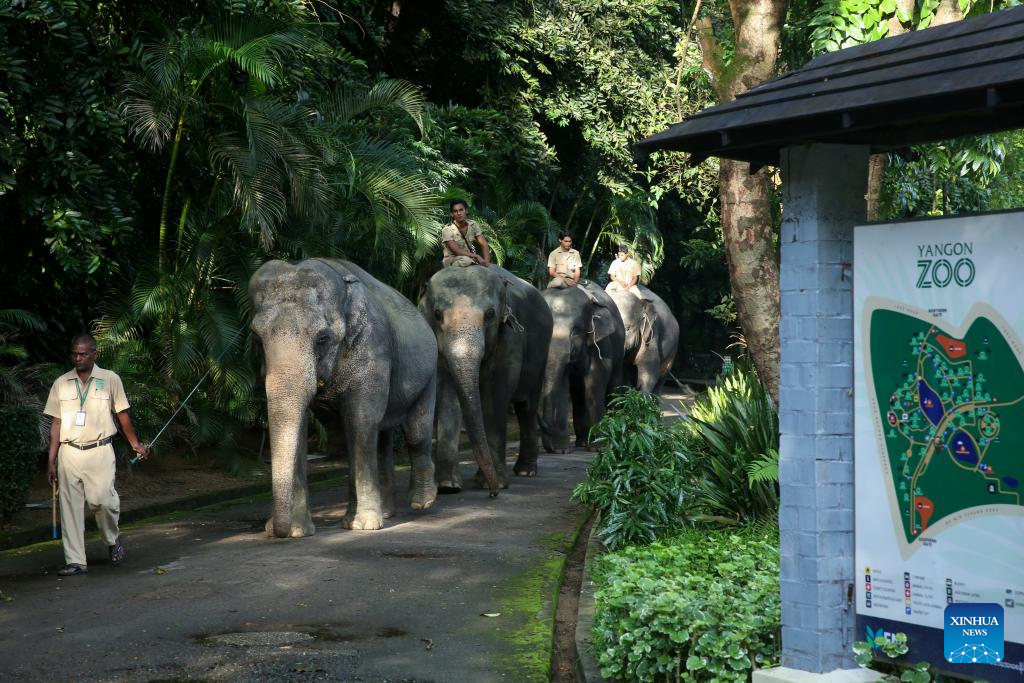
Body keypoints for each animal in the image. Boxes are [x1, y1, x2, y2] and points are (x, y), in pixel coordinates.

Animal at [249, 258, 438, 538]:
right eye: (256, 337)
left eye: (323, 338)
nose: (274, 530)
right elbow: (302, 428)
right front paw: (298, 532)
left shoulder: (373, 353)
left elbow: (360, 422)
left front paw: (365, 525)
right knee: (382, 437)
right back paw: (387, 512)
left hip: (430, 374)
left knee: (416, 433)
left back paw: (421, 502)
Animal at [419, 265, 553, 495]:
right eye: (437, 314)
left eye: (490, 314)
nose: (493, 494)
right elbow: (446, 392)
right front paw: (448, 486)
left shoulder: (509, 338)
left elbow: (495, 394)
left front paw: (494, 483)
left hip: (541, 350)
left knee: (526, 404)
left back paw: (525, 471)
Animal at [540, 281, 625, 453]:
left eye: (576, 331)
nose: (550, 448)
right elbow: (562, 385)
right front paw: (561, 450)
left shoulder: (602, 343)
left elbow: (594, 383)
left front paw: (598, 447)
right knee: (577, 393)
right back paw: (581, 442)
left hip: (619, 349)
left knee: (613, 386)